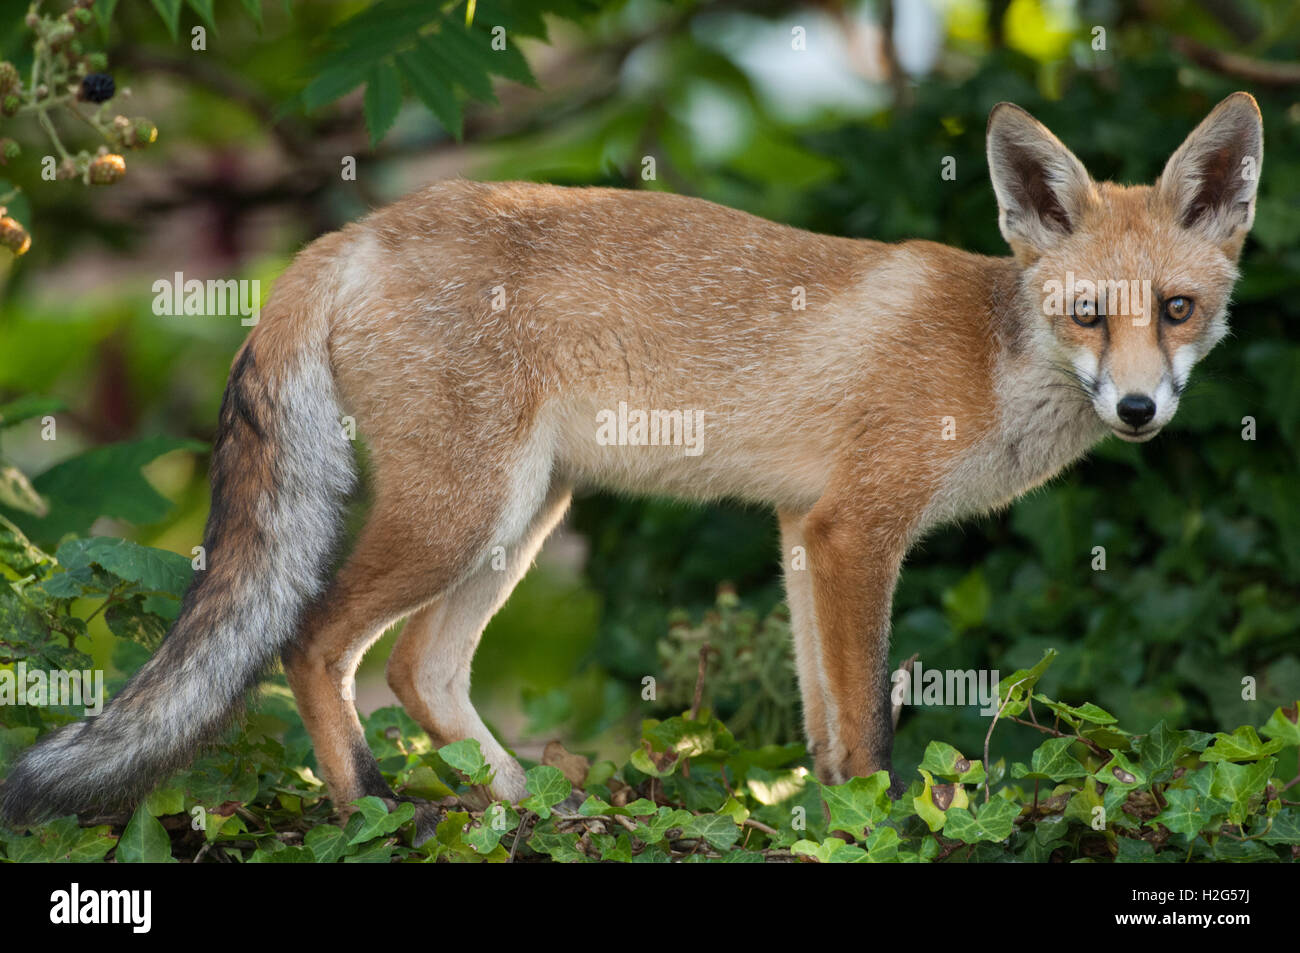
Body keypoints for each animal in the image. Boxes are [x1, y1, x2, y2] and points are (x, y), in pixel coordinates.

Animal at [0, 92, 1264, 836]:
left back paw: (518, 808)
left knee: (419, 668)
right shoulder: (856, 530)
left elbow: (821, 724)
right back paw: (372, 808)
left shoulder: (801, 533)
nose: (1140, 408)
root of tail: (347, 235)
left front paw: (815, 823)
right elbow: (868, 725)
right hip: (463, 510)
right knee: (313, 642)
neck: (989, 359)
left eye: (1177, 309)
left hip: (523, 511)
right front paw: (877, 827)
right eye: (1090, 315)